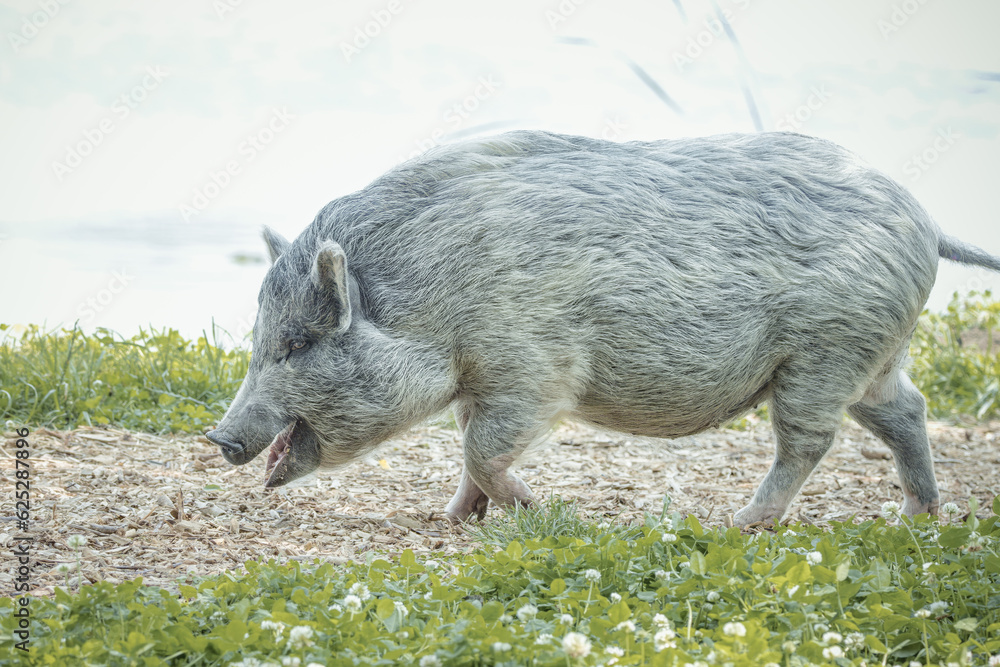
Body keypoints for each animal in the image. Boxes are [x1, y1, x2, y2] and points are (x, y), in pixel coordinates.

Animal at [206, 130, 1000, 526]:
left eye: (298, 342)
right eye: (263, 338)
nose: (219, 437)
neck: (430, 296)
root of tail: (924, 219)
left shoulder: (534, 371)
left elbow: (478, 447)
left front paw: (541, 511)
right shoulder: (480, 379)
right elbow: (466, 448)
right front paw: (453, 517)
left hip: (824, 353)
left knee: (809, 440)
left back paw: (740, 522)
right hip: (872, 355)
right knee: (907, 410)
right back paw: (916, 515)